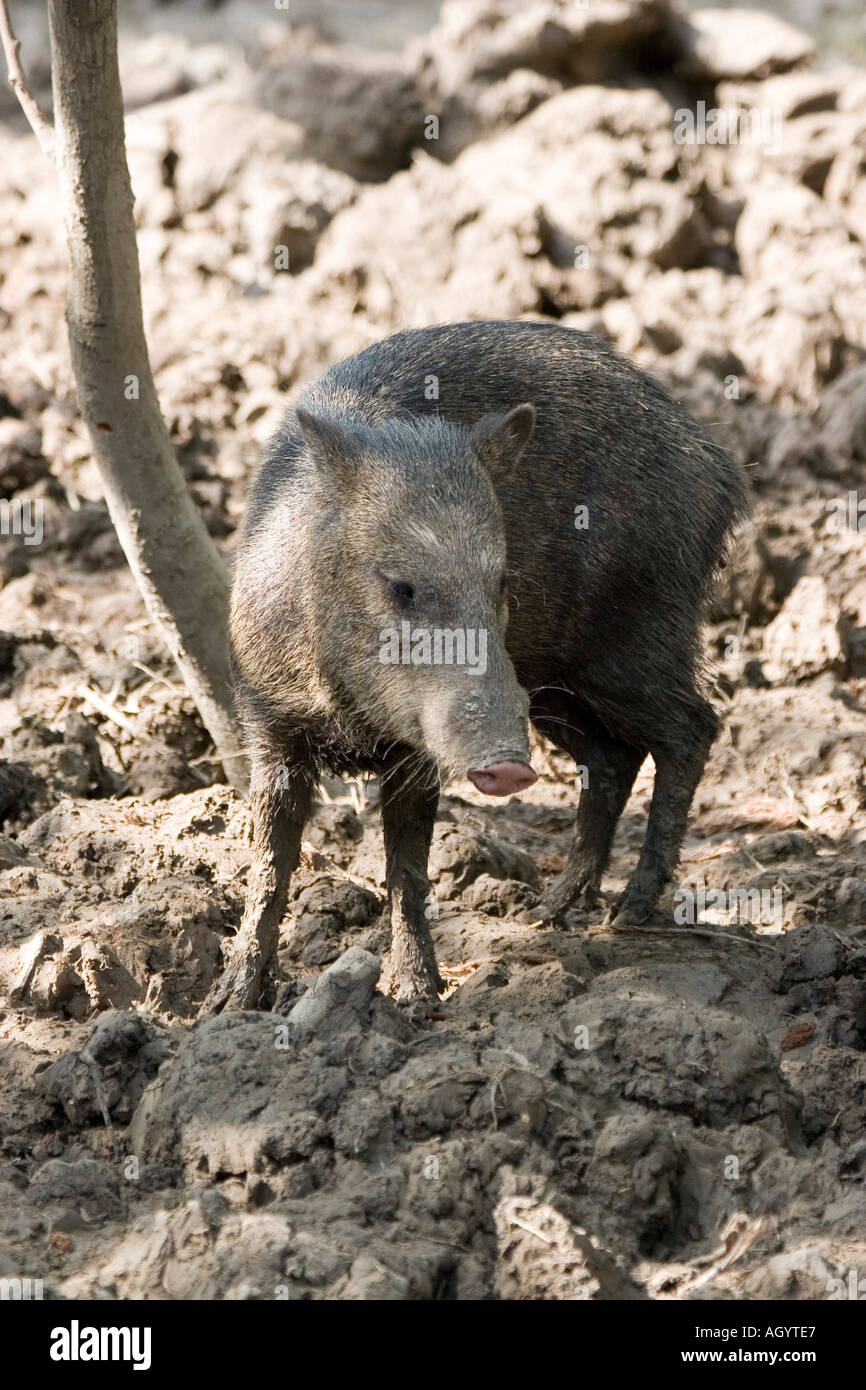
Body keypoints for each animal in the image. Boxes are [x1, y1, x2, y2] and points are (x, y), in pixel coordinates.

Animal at [208, 320, 750, 1010]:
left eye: (501, 585)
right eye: (401, 587)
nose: (508, 766)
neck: (349, 713)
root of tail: (720, 469)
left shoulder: (415, 756)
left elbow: (407, 869)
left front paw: (418, 997)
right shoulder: (269, 721)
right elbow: (271, 865)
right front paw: (228, 1003)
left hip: (632, 642)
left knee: (694, 729)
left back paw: (626, 912)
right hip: (559, 684)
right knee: (614, 758)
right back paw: (549, 913)